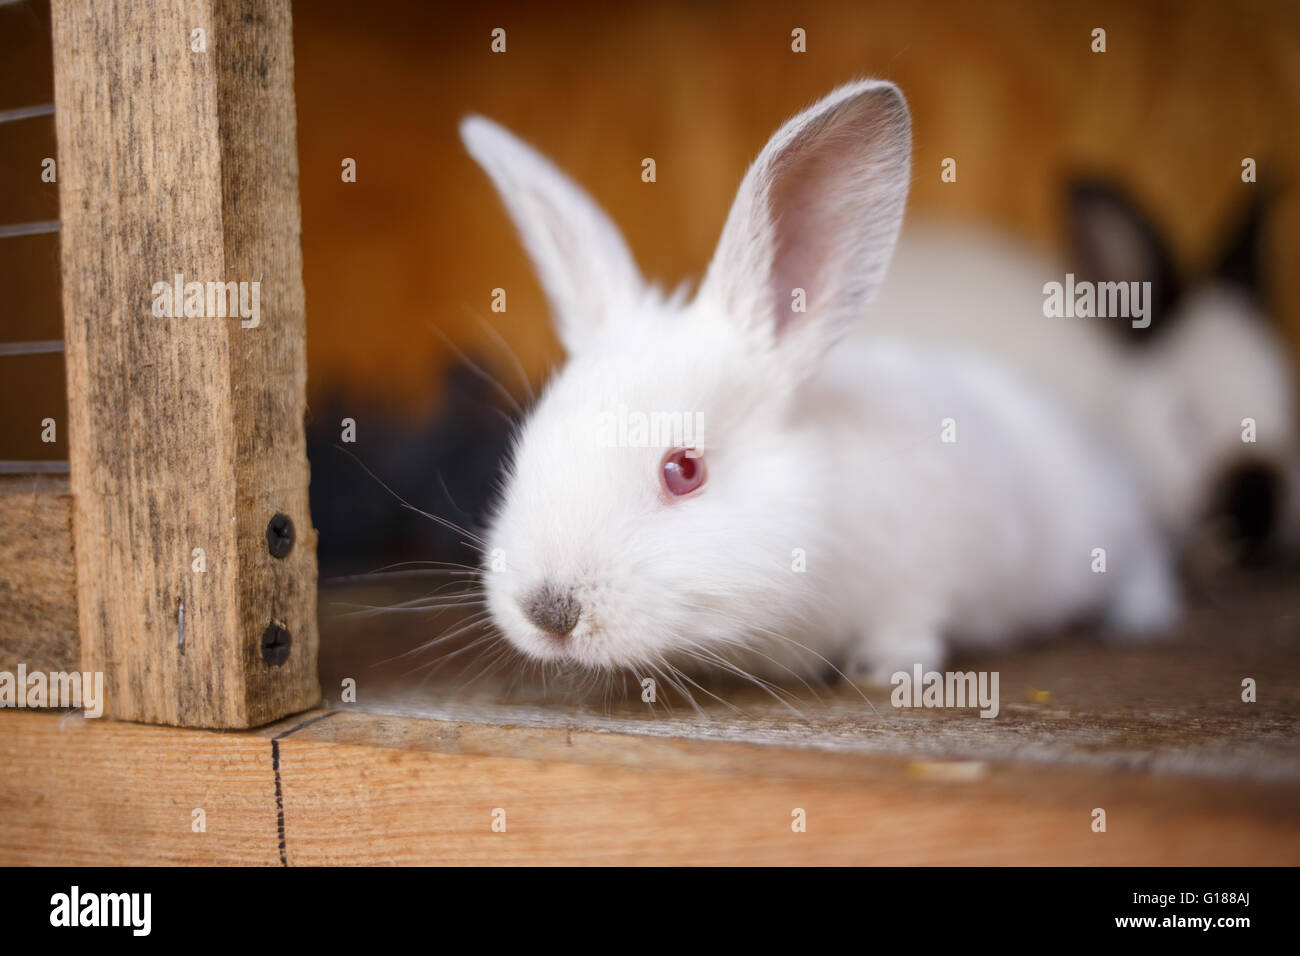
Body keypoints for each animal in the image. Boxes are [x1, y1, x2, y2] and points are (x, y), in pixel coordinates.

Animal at [460, 79, 1178, 686]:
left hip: (1103, 527)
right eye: (526, 448)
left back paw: (1142, 620)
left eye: (684, 470)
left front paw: (886, 667)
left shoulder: (926, 565)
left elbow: (913, 618)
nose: (549, 611)